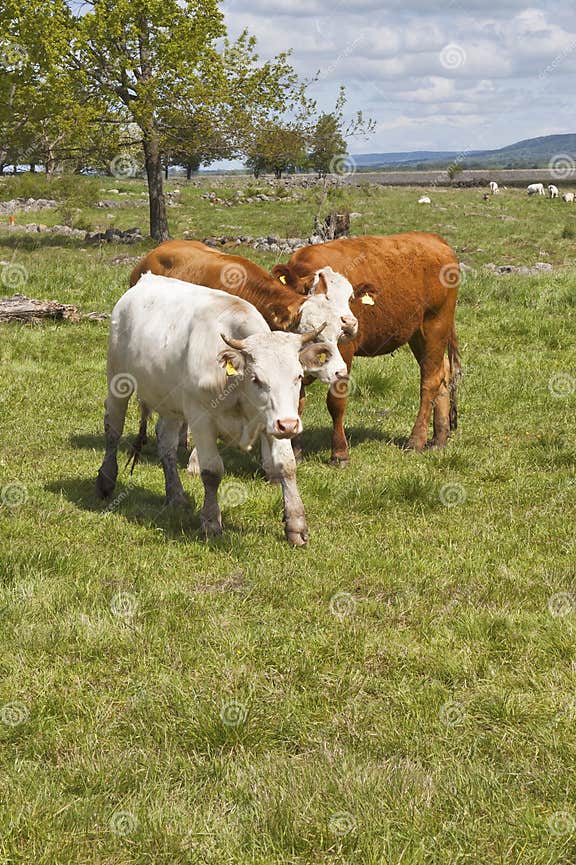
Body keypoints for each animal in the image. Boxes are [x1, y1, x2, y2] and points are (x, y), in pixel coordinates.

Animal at [96, 274, 331, 545]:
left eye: (299, 376)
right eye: (256, 379)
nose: (290, 425)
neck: (236, 389)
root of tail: (146, 279)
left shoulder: (273, 418)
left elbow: (287, 465)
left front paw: (296, 525)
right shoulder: (201, 418)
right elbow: (211, 471)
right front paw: (211, 523)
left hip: (171, 401)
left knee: (166, 442)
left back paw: (176, 496)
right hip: (117, 380)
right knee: (113, 426)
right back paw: (105, 481)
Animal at [272, 233, 461, 465]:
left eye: (350, 299)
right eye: (321, 298)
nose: (350, 324)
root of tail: (435, 239)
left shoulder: (344, 353)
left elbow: (335, 403)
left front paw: (340, 453)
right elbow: (297, 401)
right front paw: (295, 451)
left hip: (435, 325)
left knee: (430, 382)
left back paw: (416, 440)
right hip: (419, 334)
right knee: (442, 373)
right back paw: (439, 438)